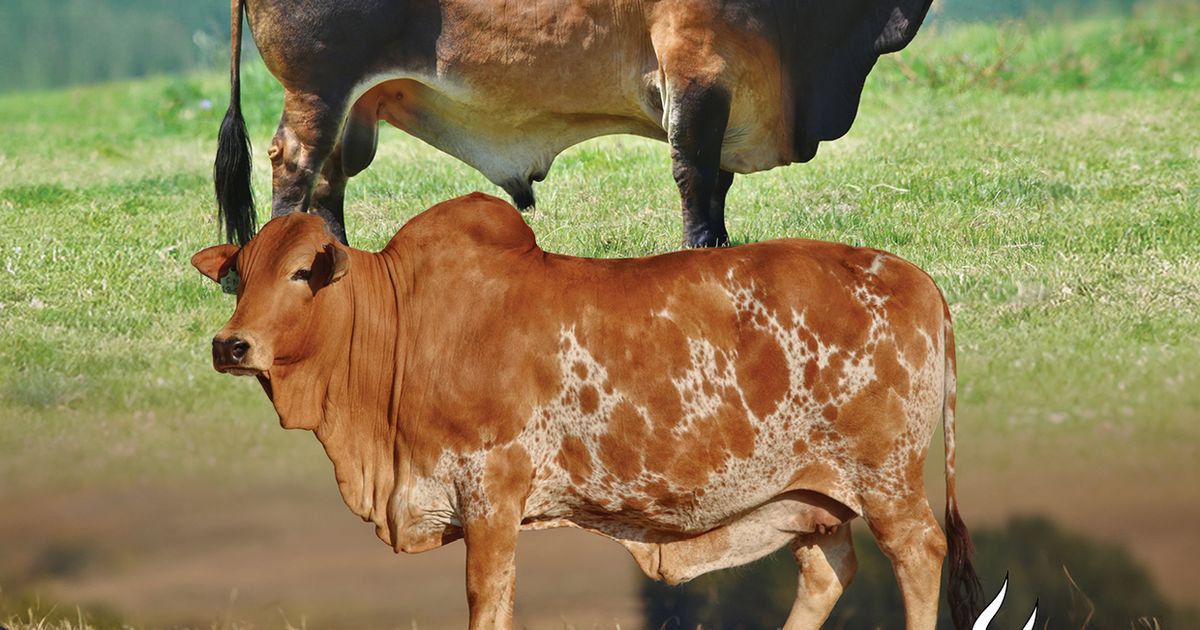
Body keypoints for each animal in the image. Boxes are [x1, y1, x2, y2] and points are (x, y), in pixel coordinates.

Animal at [192, 192, 982, 628]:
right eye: (239, 274)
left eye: (302, 272)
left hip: (885, 480)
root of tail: (918, 279)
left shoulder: (492, 494)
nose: (231, 345)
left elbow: (488, 599)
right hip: (812, 496)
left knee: (919, 553)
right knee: (827, 570)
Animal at [214, 0, 933, 248]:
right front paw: (702, 248)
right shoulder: (695, 66)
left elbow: (717, 182)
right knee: (294, 162)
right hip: (319, 87)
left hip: (350, 106)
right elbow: (695, 173)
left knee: (329, 177)